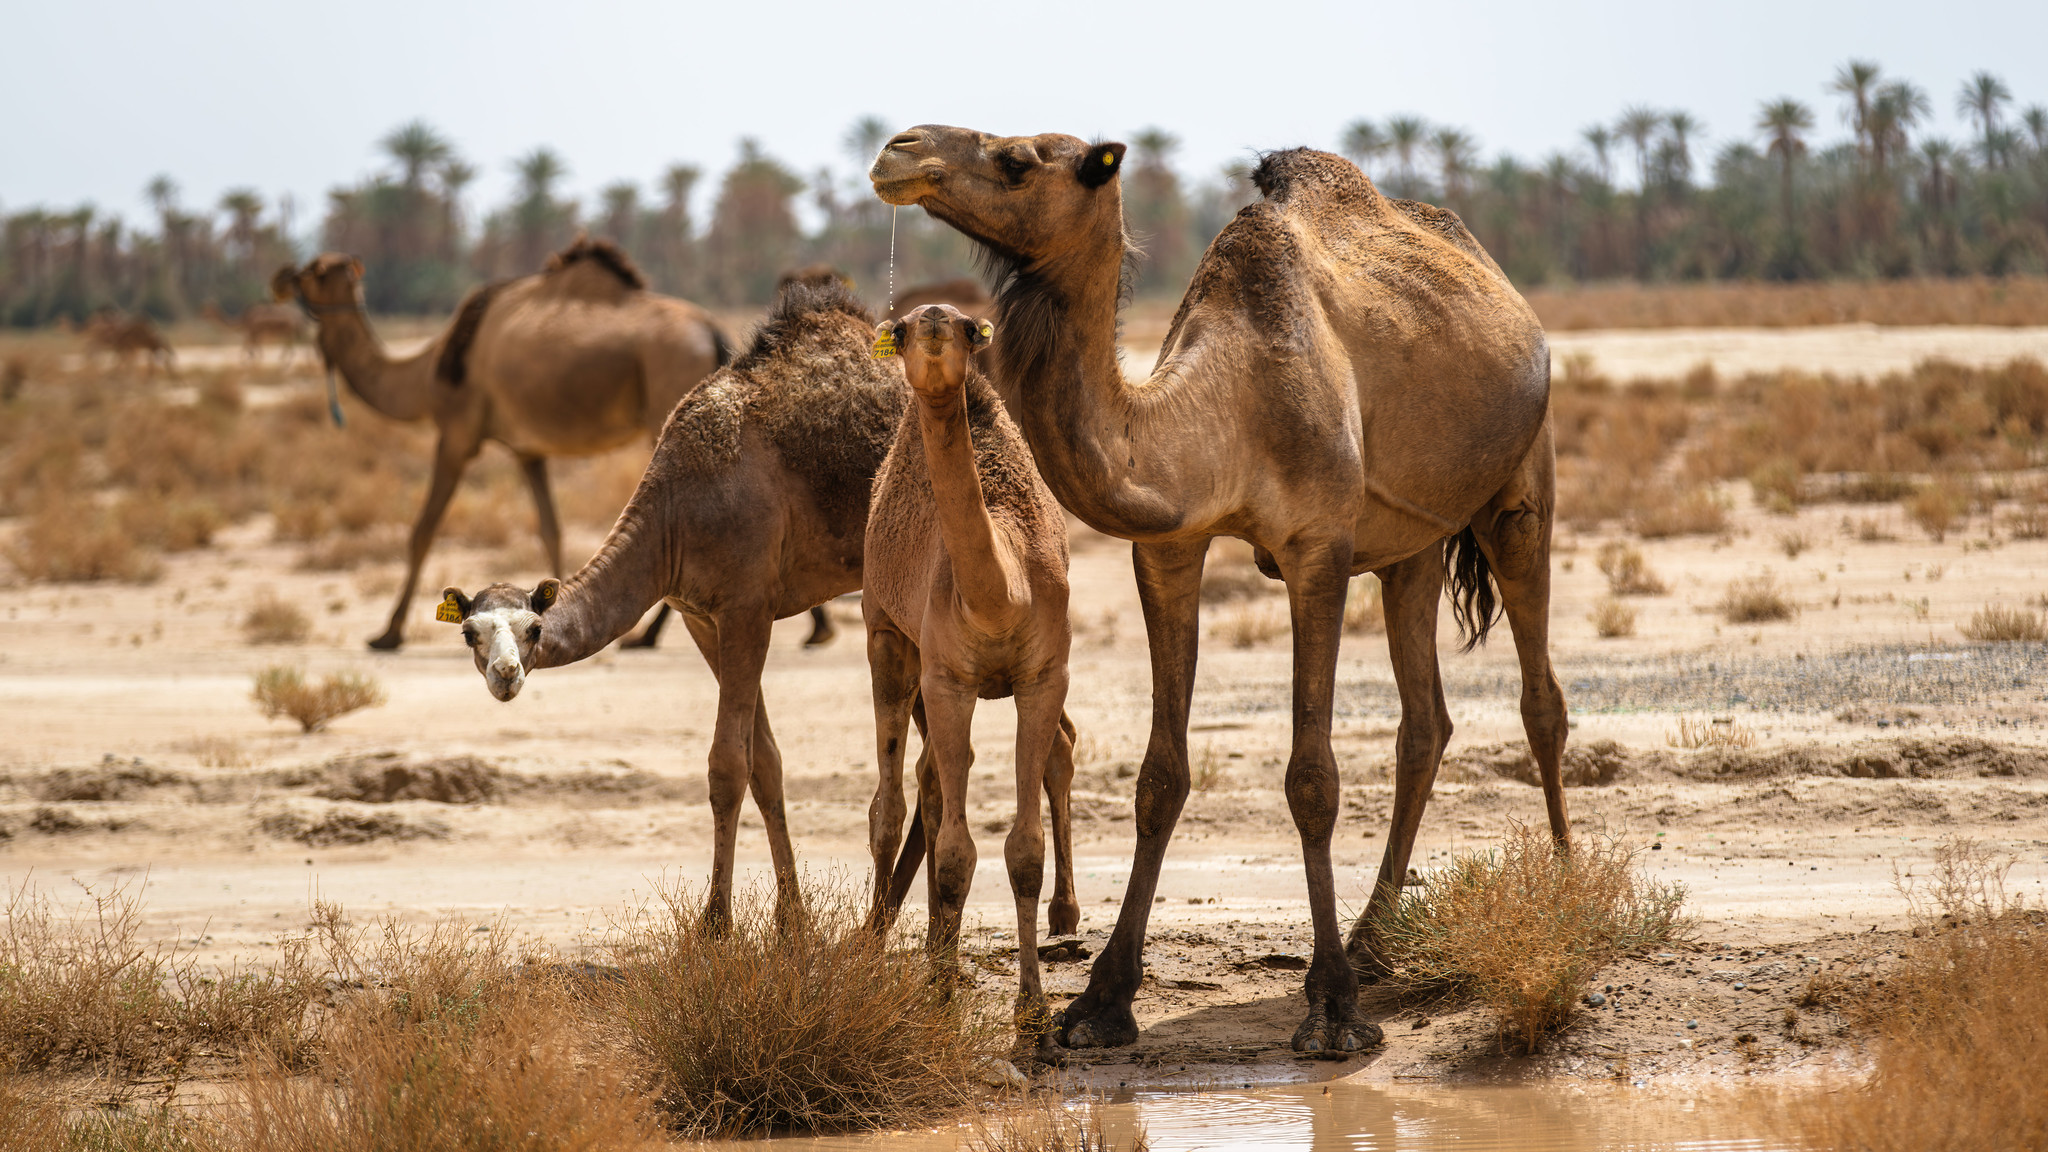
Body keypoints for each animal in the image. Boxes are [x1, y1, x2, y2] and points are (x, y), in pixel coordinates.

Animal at [273, 238, 783, 651]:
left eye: (314, 271)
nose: (283, 276)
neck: (430, 371)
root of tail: (714, 334)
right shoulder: (527, 450)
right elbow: (549, 526)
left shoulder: (456, 432)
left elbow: (423, 529)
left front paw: (387, 634)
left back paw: (646, 636)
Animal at [440, 280, 939, 926]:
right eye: (469, 633)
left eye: (532, 628)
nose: (504, 675)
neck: (673, 517)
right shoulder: (701, 616)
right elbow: (765, 763)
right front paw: (791, 919)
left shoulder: (748, 608)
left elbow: (727, 764)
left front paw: (715, 924)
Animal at [862, 304, 1079, 1059]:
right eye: (899, 329)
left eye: (966, 325)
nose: (930, 323)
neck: (1001, 594)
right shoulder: (950, 678)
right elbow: (958, 850)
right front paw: (940, 1000)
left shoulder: (1043, 674)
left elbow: (1023, 848)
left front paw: (1034, 1018)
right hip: (886, 635)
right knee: (895, 800)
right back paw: (884, 956)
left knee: (960, 776)